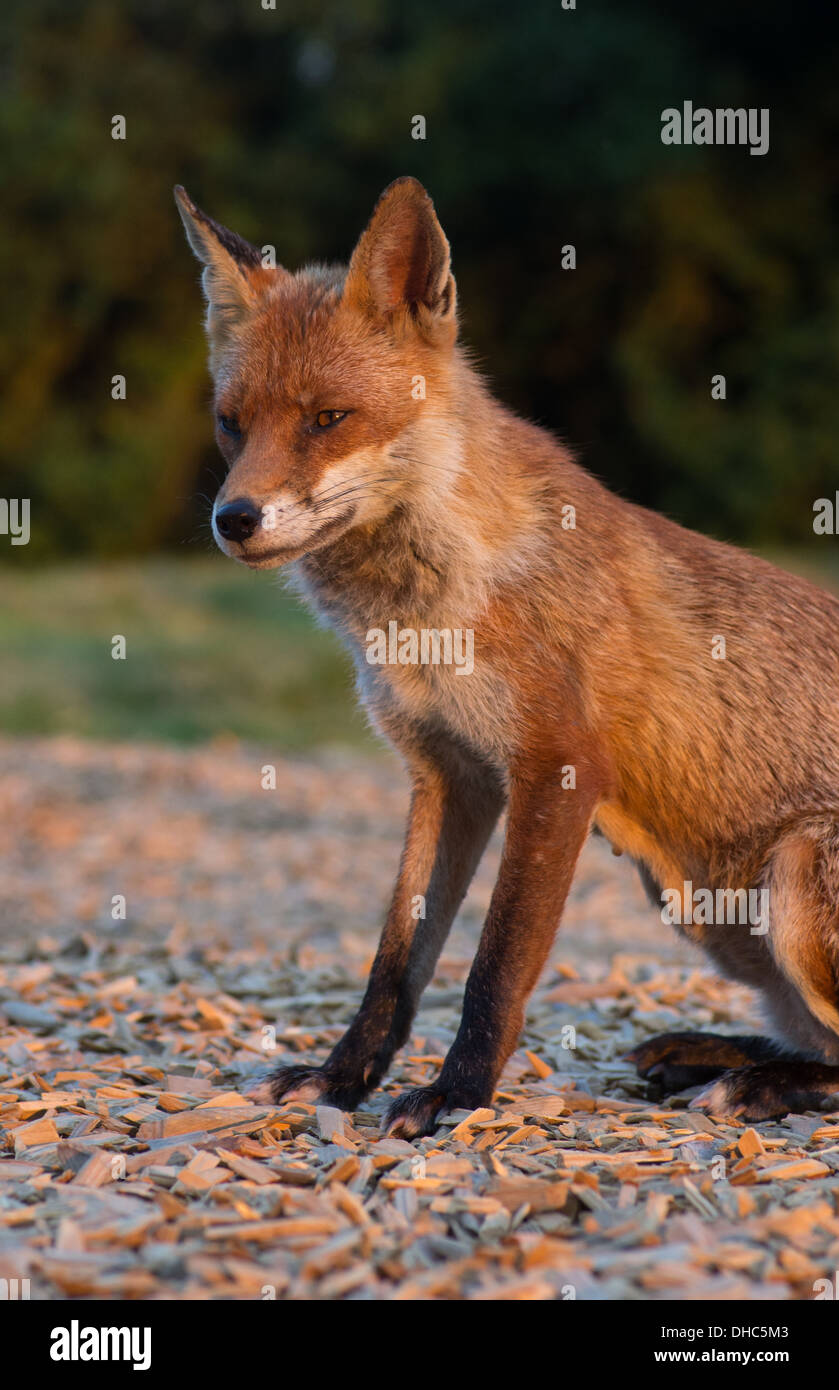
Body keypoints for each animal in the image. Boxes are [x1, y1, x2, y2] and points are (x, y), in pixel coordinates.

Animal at [177, 176, 839, 1136]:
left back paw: (761, 1082)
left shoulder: (556, 767)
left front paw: (455, 1095)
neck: (425, 614)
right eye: (231, 426)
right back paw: (717, 1055)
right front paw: (341, 1080)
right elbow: (396, 961)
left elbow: (495, 967)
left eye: (328, 419)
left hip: (789, 877)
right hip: (703, 909)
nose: (233, 519)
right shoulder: (447, 774)